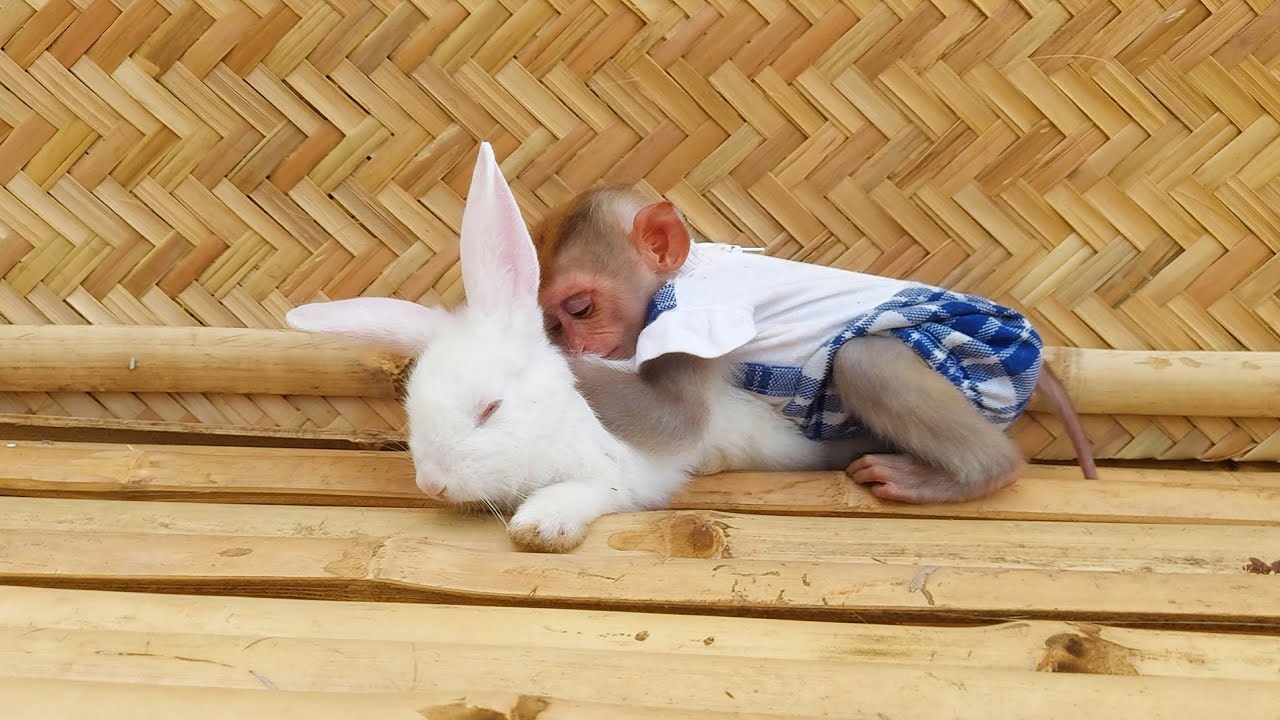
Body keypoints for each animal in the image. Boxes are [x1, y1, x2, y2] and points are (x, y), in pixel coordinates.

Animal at [286, 142, 853, 553]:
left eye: (490, 410)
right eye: (412, 410)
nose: (432, 485)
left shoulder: (624, 475)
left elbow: (584, 493)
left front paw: (540, 527)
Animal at [530, 185, 1096, 504]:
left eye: (579, 308)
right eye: (557, 319)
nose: (575, 340)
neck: (687, 271)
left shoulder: (690, 314)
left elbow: (677, 419)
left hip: (984, 360)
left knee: (866, 358)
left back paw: (976, 474)